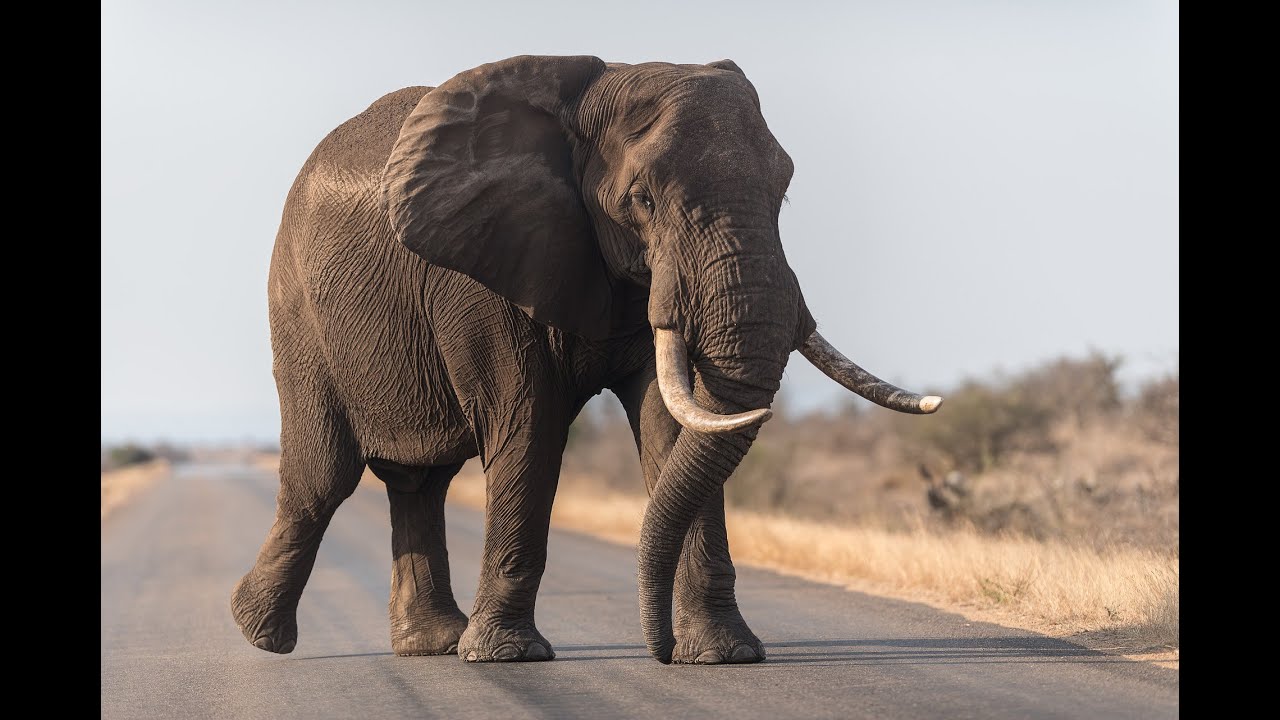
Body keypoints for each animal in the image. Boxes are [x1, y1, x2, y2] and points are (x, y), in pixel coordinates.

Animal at [231, 55, 942, 665]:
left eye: (784, 192)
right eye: (643, 200)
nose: (658, 649)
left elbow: (673, 425)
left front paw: (724, 655)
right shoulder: (482, 269)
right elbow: (529, 425)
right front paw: (508, 657)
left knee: (419, 481)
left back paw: (431, 644)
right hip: (297, 312)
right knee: (323, 477)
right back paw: (259, 632)